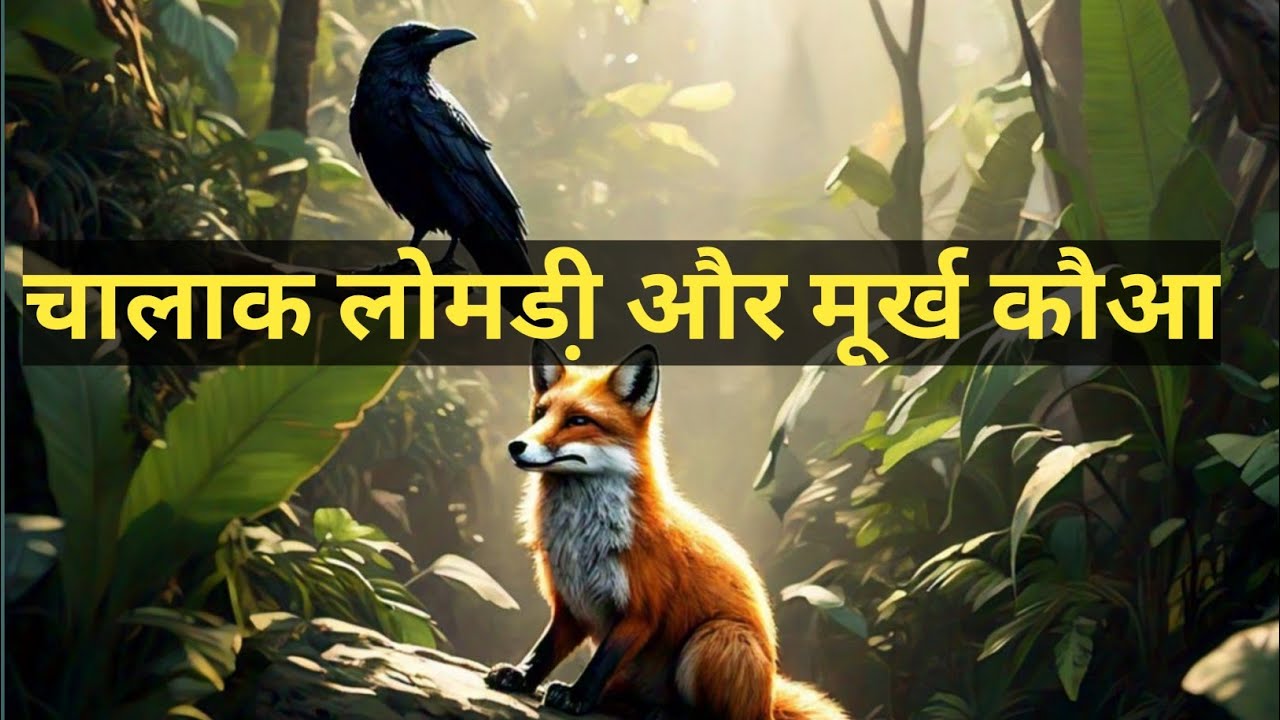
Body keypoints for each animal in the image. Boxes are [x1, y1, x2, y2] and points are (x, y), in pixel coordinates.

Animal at [484, 340, 850, 720]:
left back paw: (667, 712)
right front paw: (522, 677)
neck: (581, 538)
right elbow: (543, 651)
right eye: (540, 413)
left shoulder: (641, 610)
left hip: (715, 637)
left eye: (579, 420)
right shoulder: (570, 603)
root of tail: (767, 701)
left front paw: (577, 696)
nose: (516, 446)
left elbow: (600, 663)